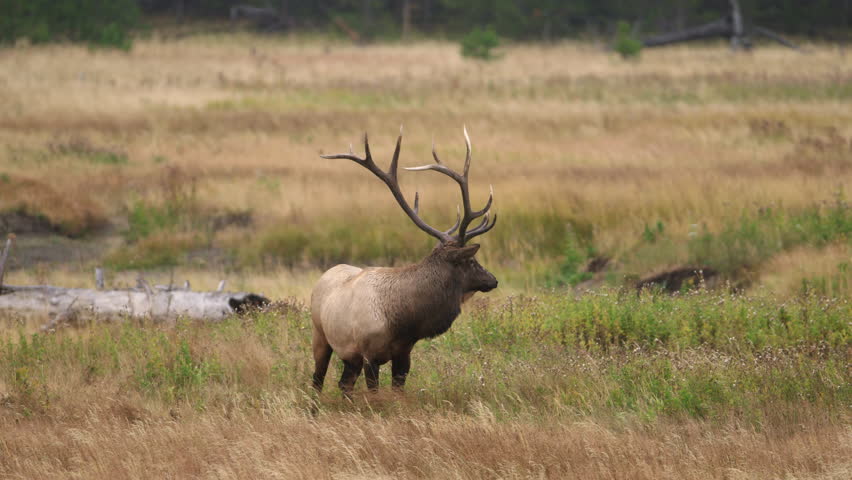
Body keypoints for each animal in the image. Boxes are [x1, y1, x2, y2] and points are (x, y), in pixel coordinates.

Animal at [311, 127, 498, 395]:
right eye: (472, 261)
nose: (493, 280)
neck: (403, 323)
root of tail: (325, 273)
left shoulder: (403, 354)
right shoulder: (369, 354)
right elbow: (375, 394)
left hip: (349, 356)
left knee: (344, 384)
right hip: (320, 336)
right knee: (317, 380)